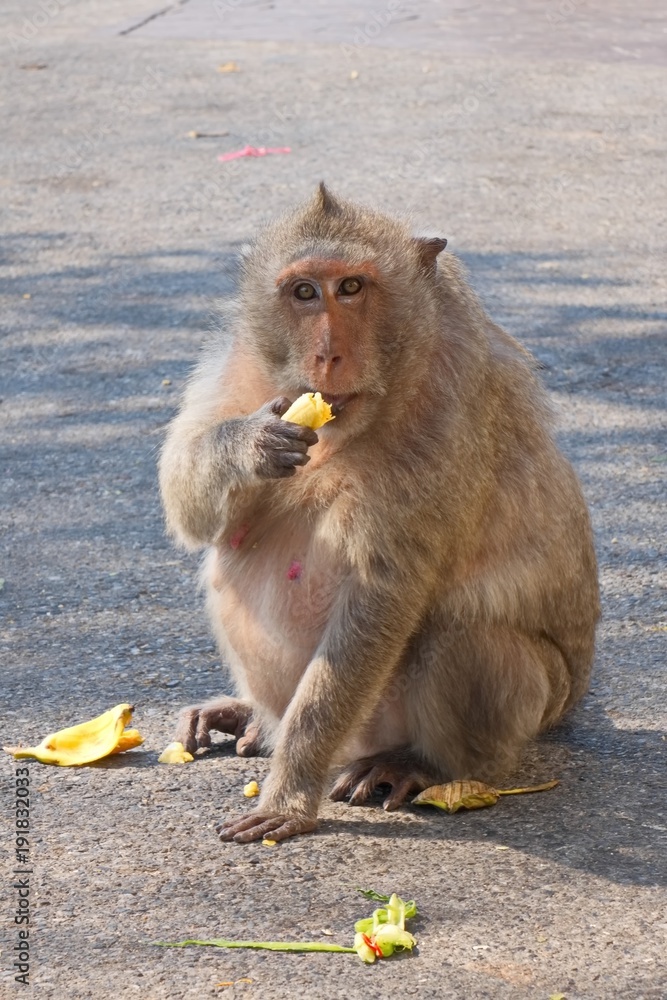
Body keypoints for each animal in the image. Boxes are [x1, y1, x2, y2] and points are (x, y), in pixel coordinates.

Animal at [158, 183, 600, 843]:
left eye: (351, 287)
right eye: (304, 292)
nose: (326, 355)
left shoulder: (446, 414)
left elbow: (382, 595)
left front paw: (289, 795)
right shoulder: (239, 357)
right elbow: (184, 498)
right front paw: (251, 444)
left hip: (518, 710)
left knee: (463, 636)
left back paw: (422, 765)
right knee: (229, 545)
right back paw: (252, 718)